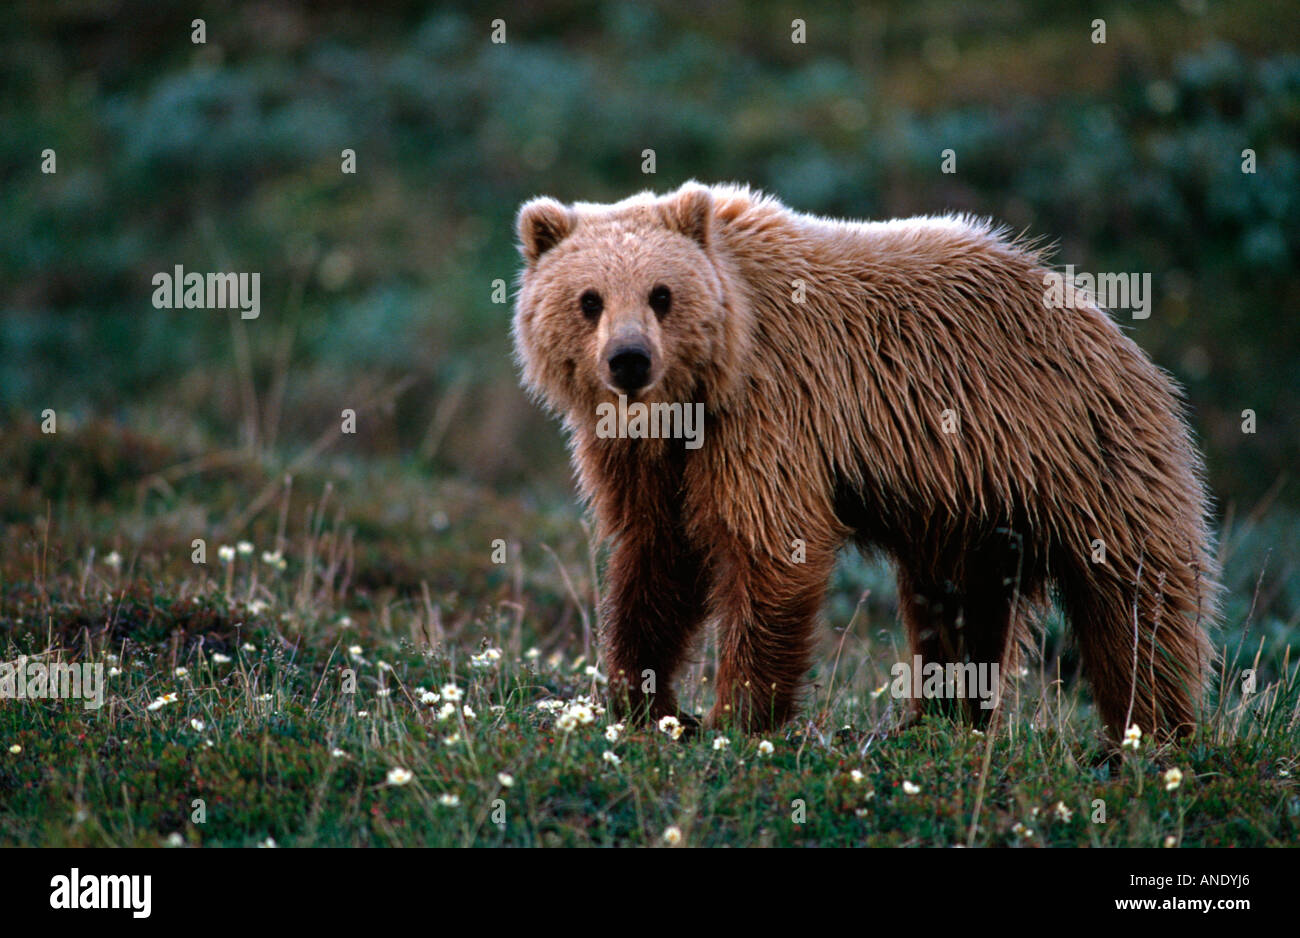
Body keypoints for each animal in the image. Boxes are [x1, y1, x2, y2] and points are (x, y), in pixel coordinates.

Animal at [511, 181, 1219, 743]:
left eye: (661, 294)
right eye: (589, 299)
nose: (629, 360)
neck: (692, 398)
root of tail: (1104, 321)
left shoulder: (772, 410)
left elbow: (772, 549)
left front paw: (736, 714)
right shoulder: (648, 459)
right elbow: (657, 558)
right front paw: (641, 700)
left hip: (1080, 452)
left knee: (1134, 603)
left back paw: (1148, 733)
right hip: (971, 502)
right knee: (954, 604)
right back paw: (942, 718)